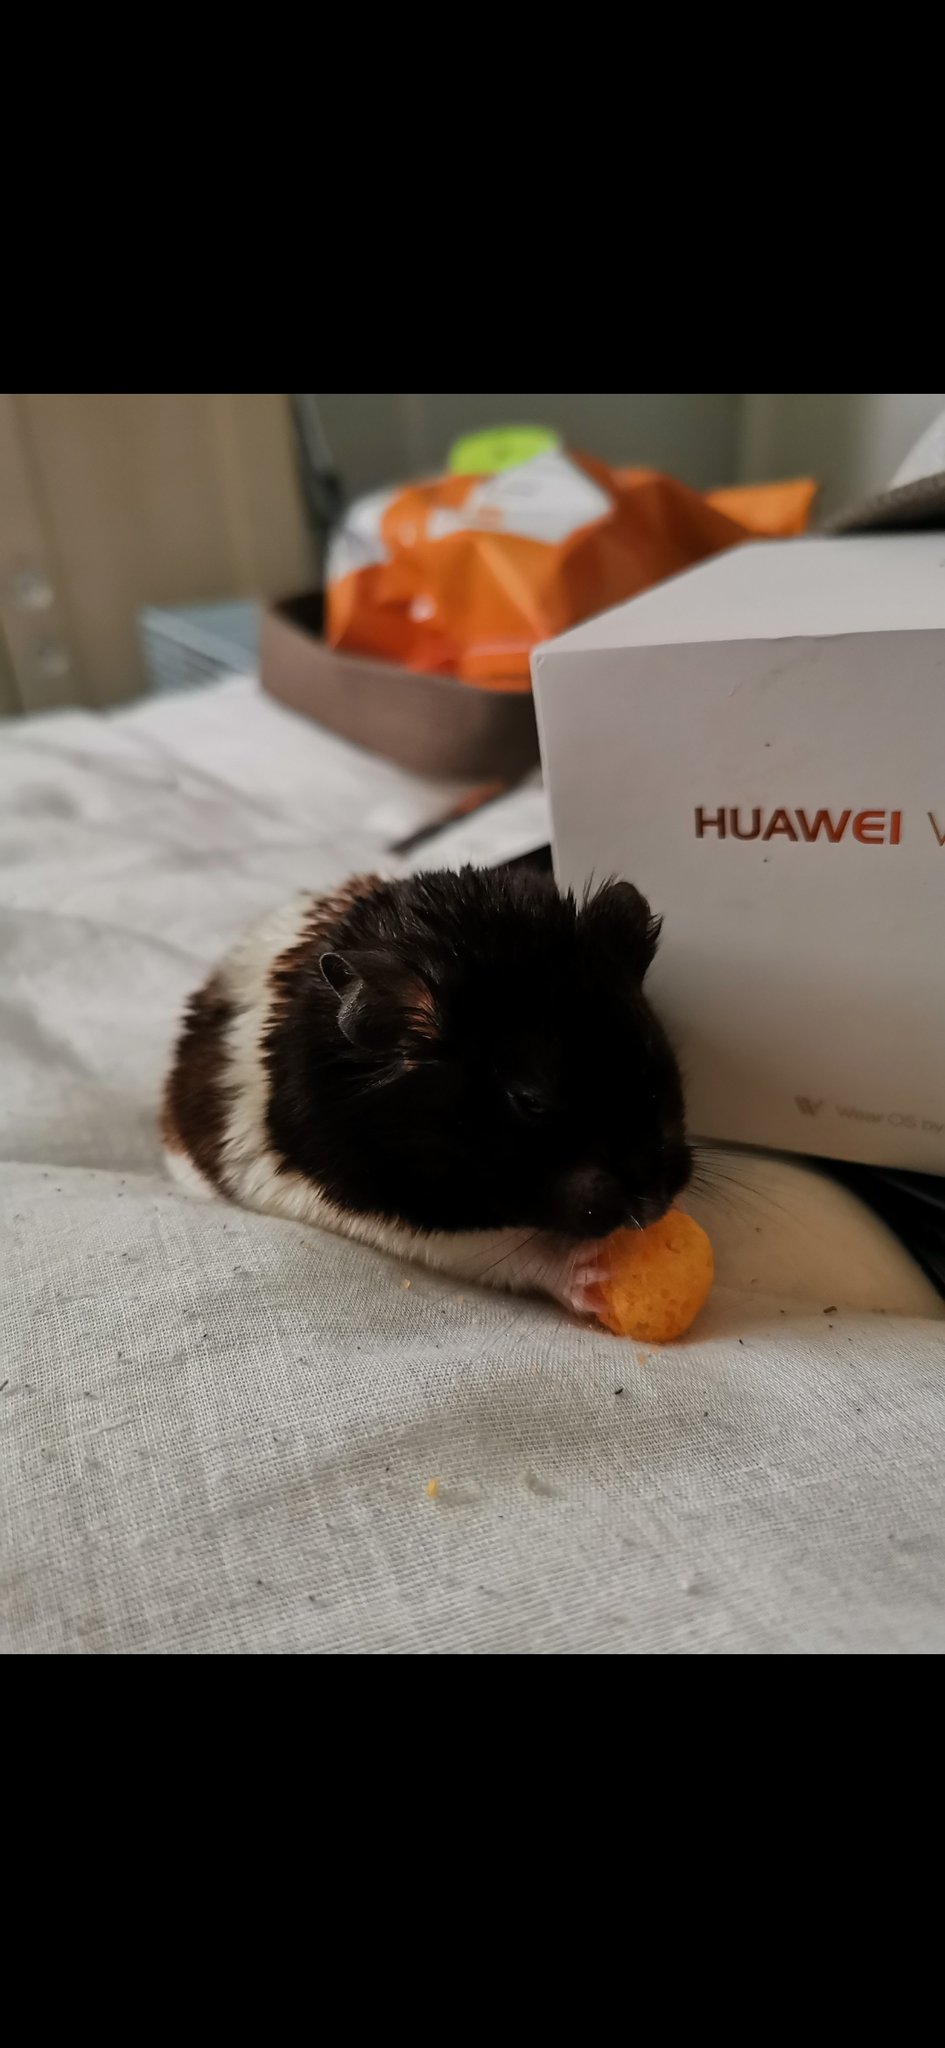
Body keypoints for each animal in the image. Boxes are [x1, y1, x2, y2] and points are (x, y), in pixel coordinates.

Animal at [161, 865, 691, 1317]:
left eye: (650, 1056)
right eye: (531, 1101)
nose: (654, 1210)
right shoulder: (375, 1206)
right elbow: (496, 1249)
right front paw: (592, 1274)